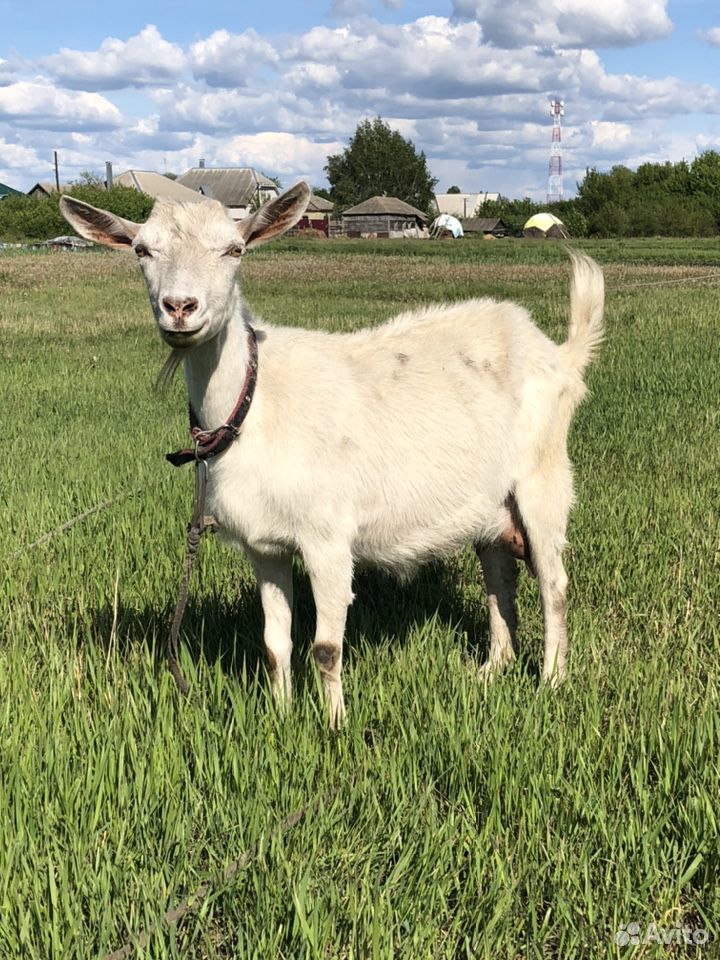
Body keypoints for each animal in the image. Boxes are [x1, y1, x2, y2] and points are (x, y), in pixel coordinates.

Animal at [61, 183, 604, 728]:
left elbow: (325, 647)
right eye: (141, 251)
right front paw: (281, 717)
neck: (255, 401)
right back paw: (493, 669)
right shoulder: (265, 547)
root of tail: (559, 354)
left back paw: (550, 680)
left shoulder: (327, 540)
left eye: (235, 250)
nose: (179, 307)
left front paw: (334, 725)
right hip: (489, 504)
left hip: (543, 479)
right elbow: (274, 644)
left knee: (554, 583)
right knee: (499, 576)